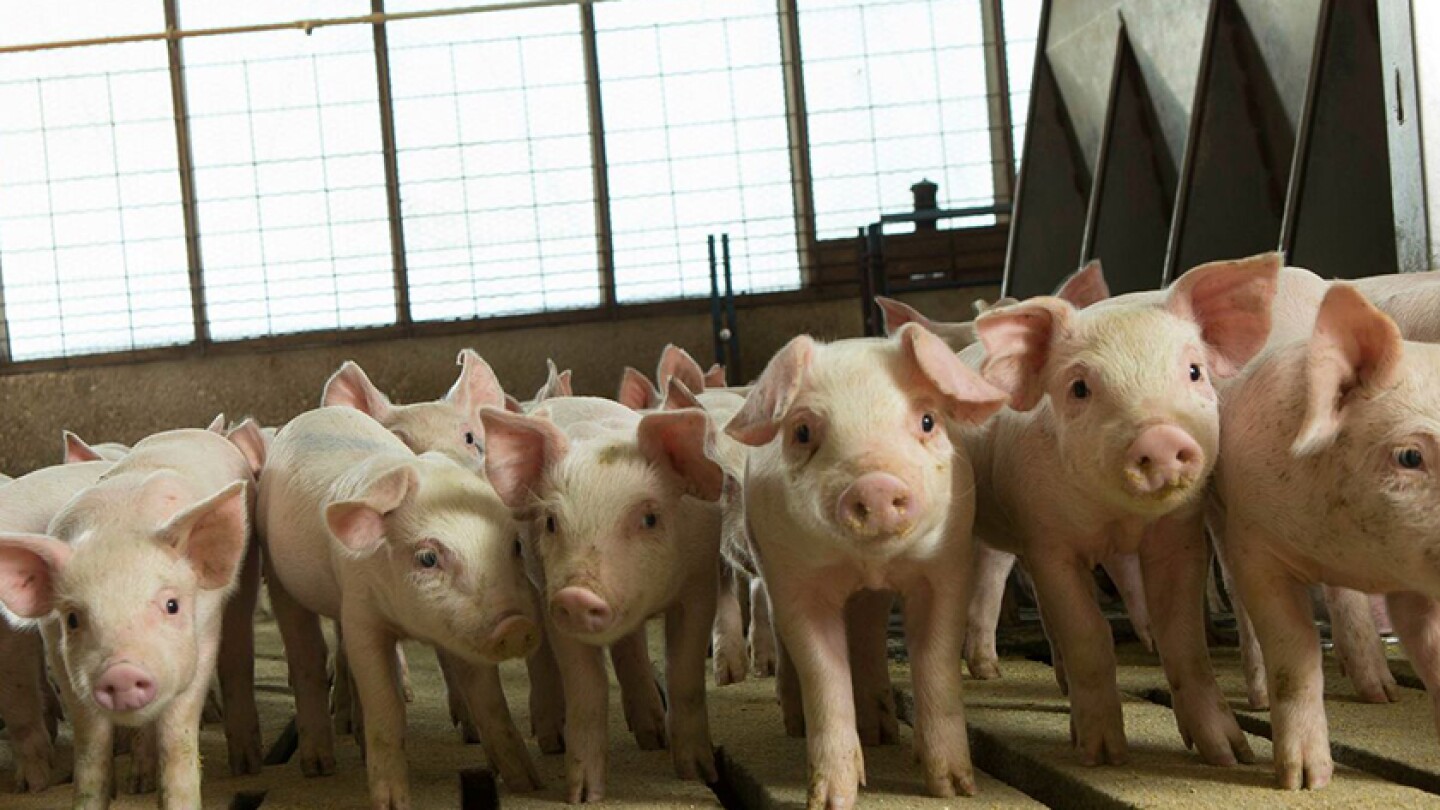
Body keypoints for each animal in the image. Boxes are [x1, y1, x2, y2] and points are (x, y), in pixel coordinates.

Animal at [258, 406, 541, 807]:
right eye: (427, 558)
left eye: (515, 545)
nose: (516, 625)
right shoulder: (361, 612)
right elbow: (386, 705)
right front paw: (392, 803)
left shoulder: (463, 629)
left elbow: (489, 702)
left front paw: (529, 784)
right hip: (278, 571)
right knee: (306, 655)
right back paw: (318, 767)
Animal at [481, 396, 726, 803]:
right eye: (551, 522)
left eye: (650, 518)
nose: (577, 595)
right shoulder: (553, 600)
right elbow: (587, 689)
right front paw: (583, 797)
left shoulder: (701, 583)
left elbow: (685, 676)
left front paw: (697, 774)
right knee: (542, 660)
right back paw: (552, 740)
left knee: (631, 646)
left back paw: (651, 736)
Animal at [724, 323, 1009, 808]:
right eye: (802, 431)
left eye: (928, 420)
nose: (875, 486)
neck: (868, 563)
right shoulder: (794, 580)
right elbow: (822, 673)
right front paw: (831, 800)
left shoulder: (945, 568)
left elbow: (936, 664)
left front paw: (955, 789)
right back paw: (797, 725)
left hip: (875, 601)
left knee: (869, 634)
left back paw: (883, 733)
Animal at [958, 255, 1281, 770]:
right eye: (1079, 388)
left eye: (1194, 371)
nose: (1161, 437)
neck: (1117, 520)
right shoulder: (1048, 540)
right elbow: (1089, 633)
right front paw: (1103, 756)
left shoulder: (1179, 537)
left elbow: (1183, 637)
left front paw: (1231, 757)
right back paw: (990, 674)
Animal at [1210, 282, 1440, 789]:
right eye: (1410, 457)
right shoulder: (1257, 546)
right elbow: (1294, 657)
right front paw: (1303, 782)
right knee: (1236, 596)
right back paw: (1258, 700)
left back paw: (1381, 694)